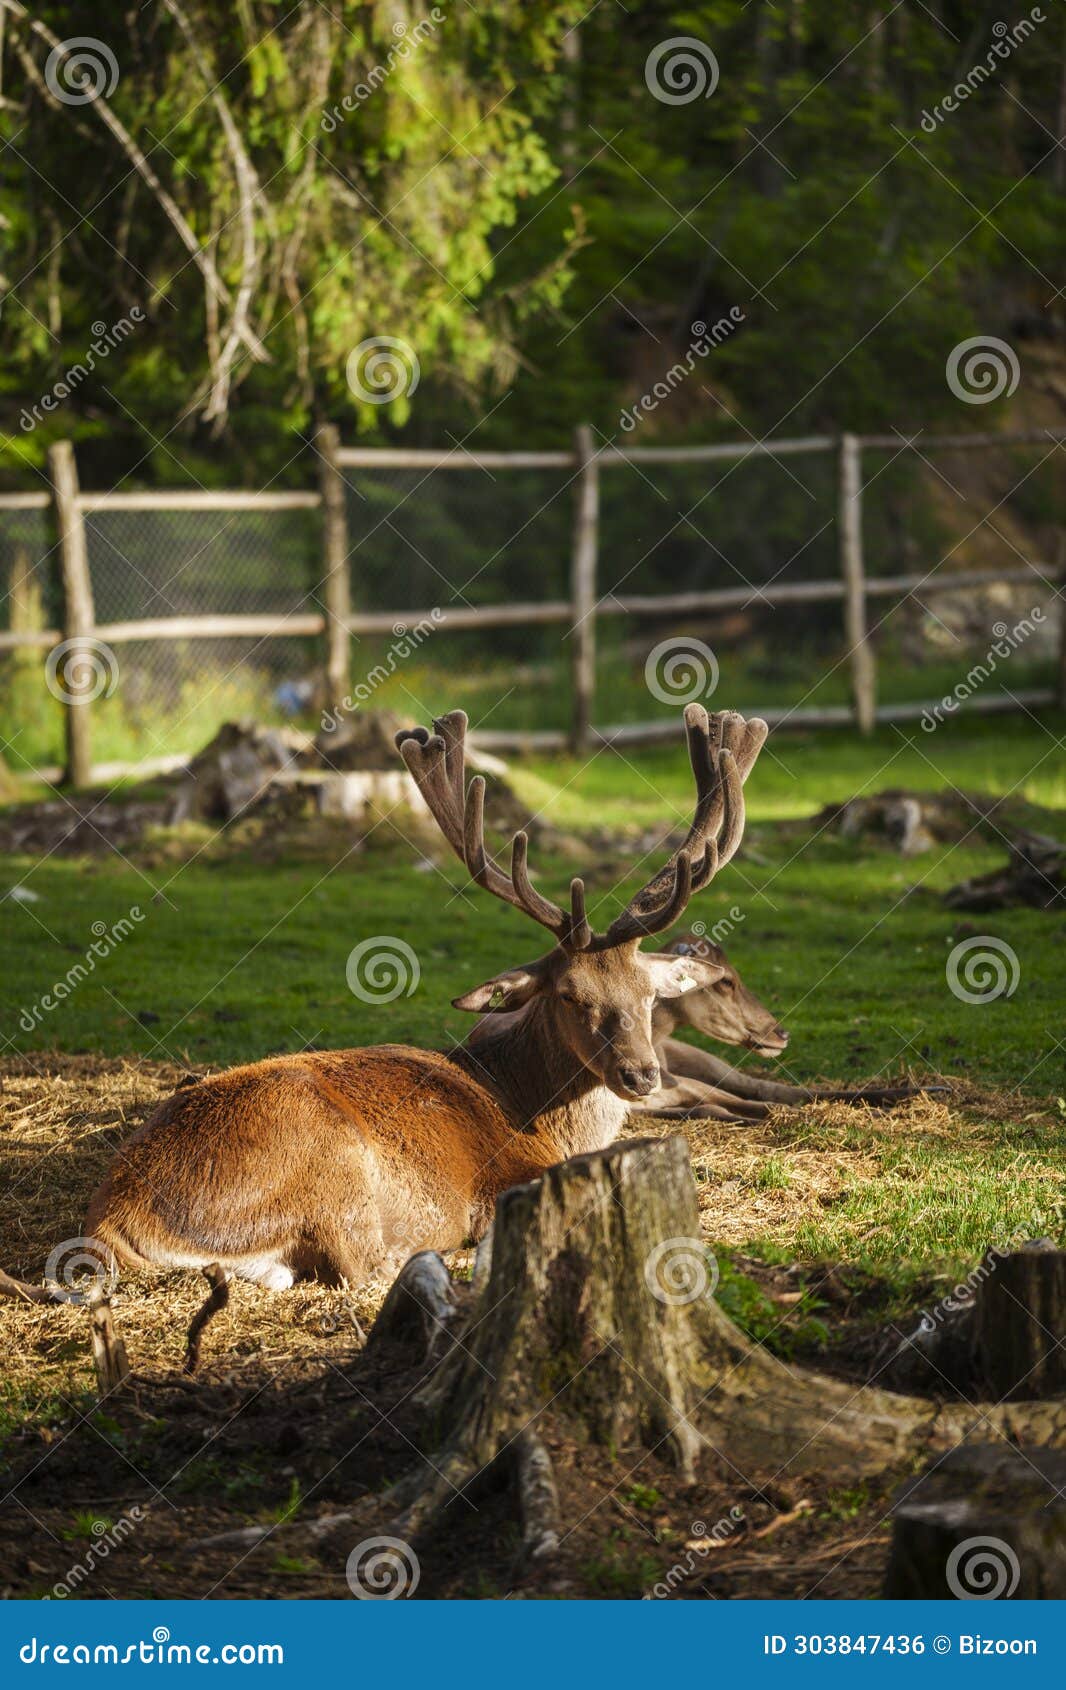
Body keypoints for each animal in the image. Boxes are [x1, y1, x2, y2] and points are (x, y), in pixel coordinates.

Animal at [0, 703, 767, 1367]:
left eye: (649, 995)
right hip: (335, 1166)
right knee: (360, 1266)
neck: (534, 1112)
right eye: (572, 996)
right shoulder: (509, 1173)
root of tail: (112, 1221)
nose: (641, 1074)